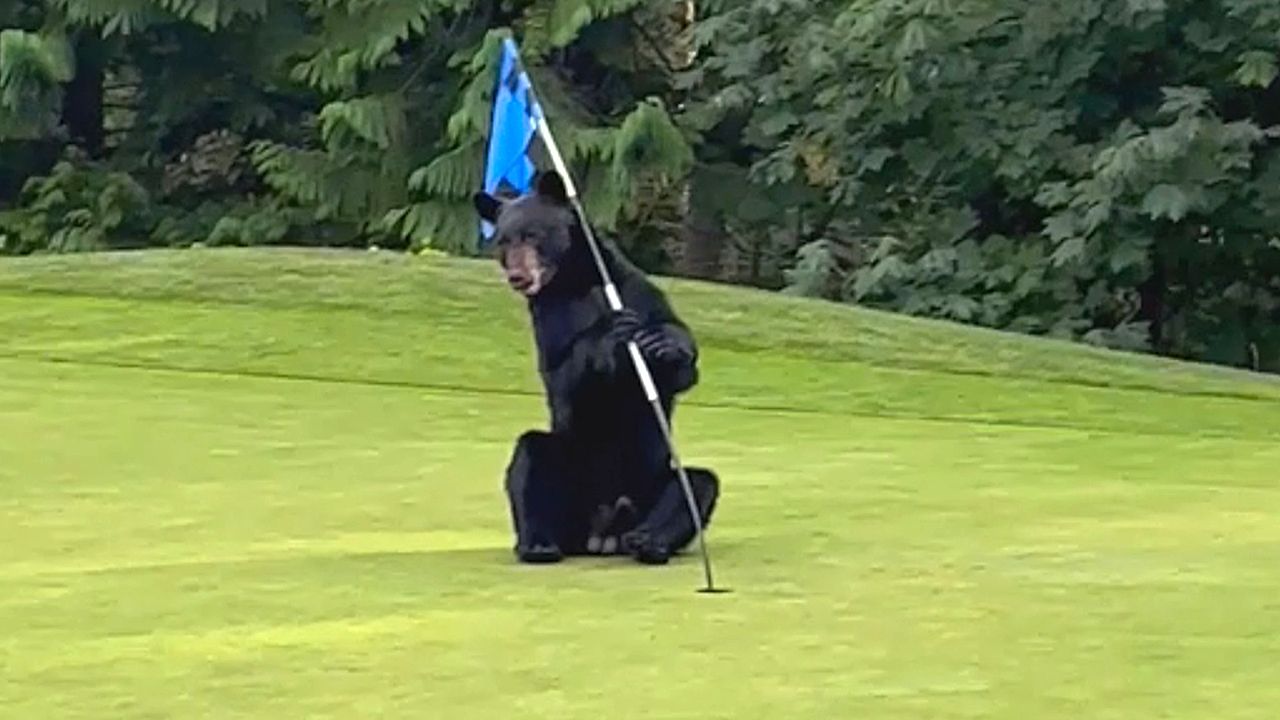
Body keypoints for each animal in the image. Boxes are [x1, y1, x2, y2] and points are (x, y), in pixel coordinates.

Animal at [473, 171, 719, 566]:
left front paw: (665, 344)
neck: (577, 281)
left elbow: (678, 370)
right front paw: (608, 334)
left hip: (649, 483)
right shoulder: (550, 319)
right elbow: (562, 383)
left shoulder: (637, 291)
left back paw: (649, 541)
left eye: (533, 235)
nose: (518, 277)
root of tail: (602, 534)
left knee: (696, 483)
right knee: (532, 456)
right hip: (573, 483)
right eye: (502, 241)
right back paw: (538, 545)